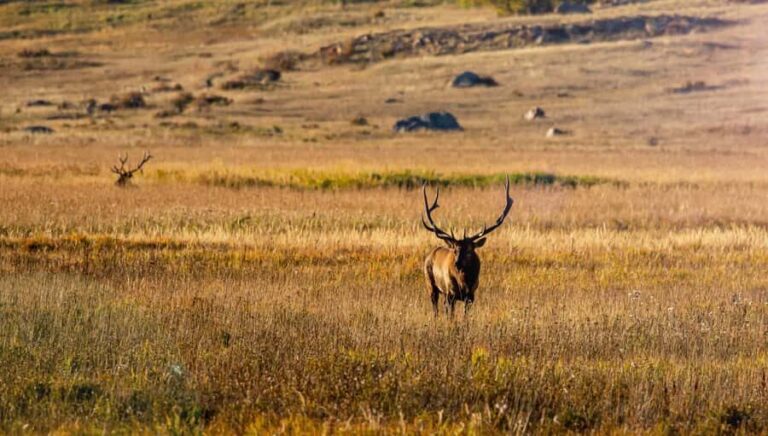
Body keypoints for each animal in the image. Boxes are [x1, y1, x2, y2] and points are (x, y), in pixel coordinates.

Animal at [422, 176, 513, 318]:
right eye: (455, 250)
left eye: (469, 250)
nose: (457, 263)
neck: (464, 282)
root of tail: (430, 254)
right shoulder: (450, 293)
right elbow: (451, 316)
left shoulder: (471, 295)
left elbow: (465, 316)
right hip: (430, 284)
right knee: (435, 308)